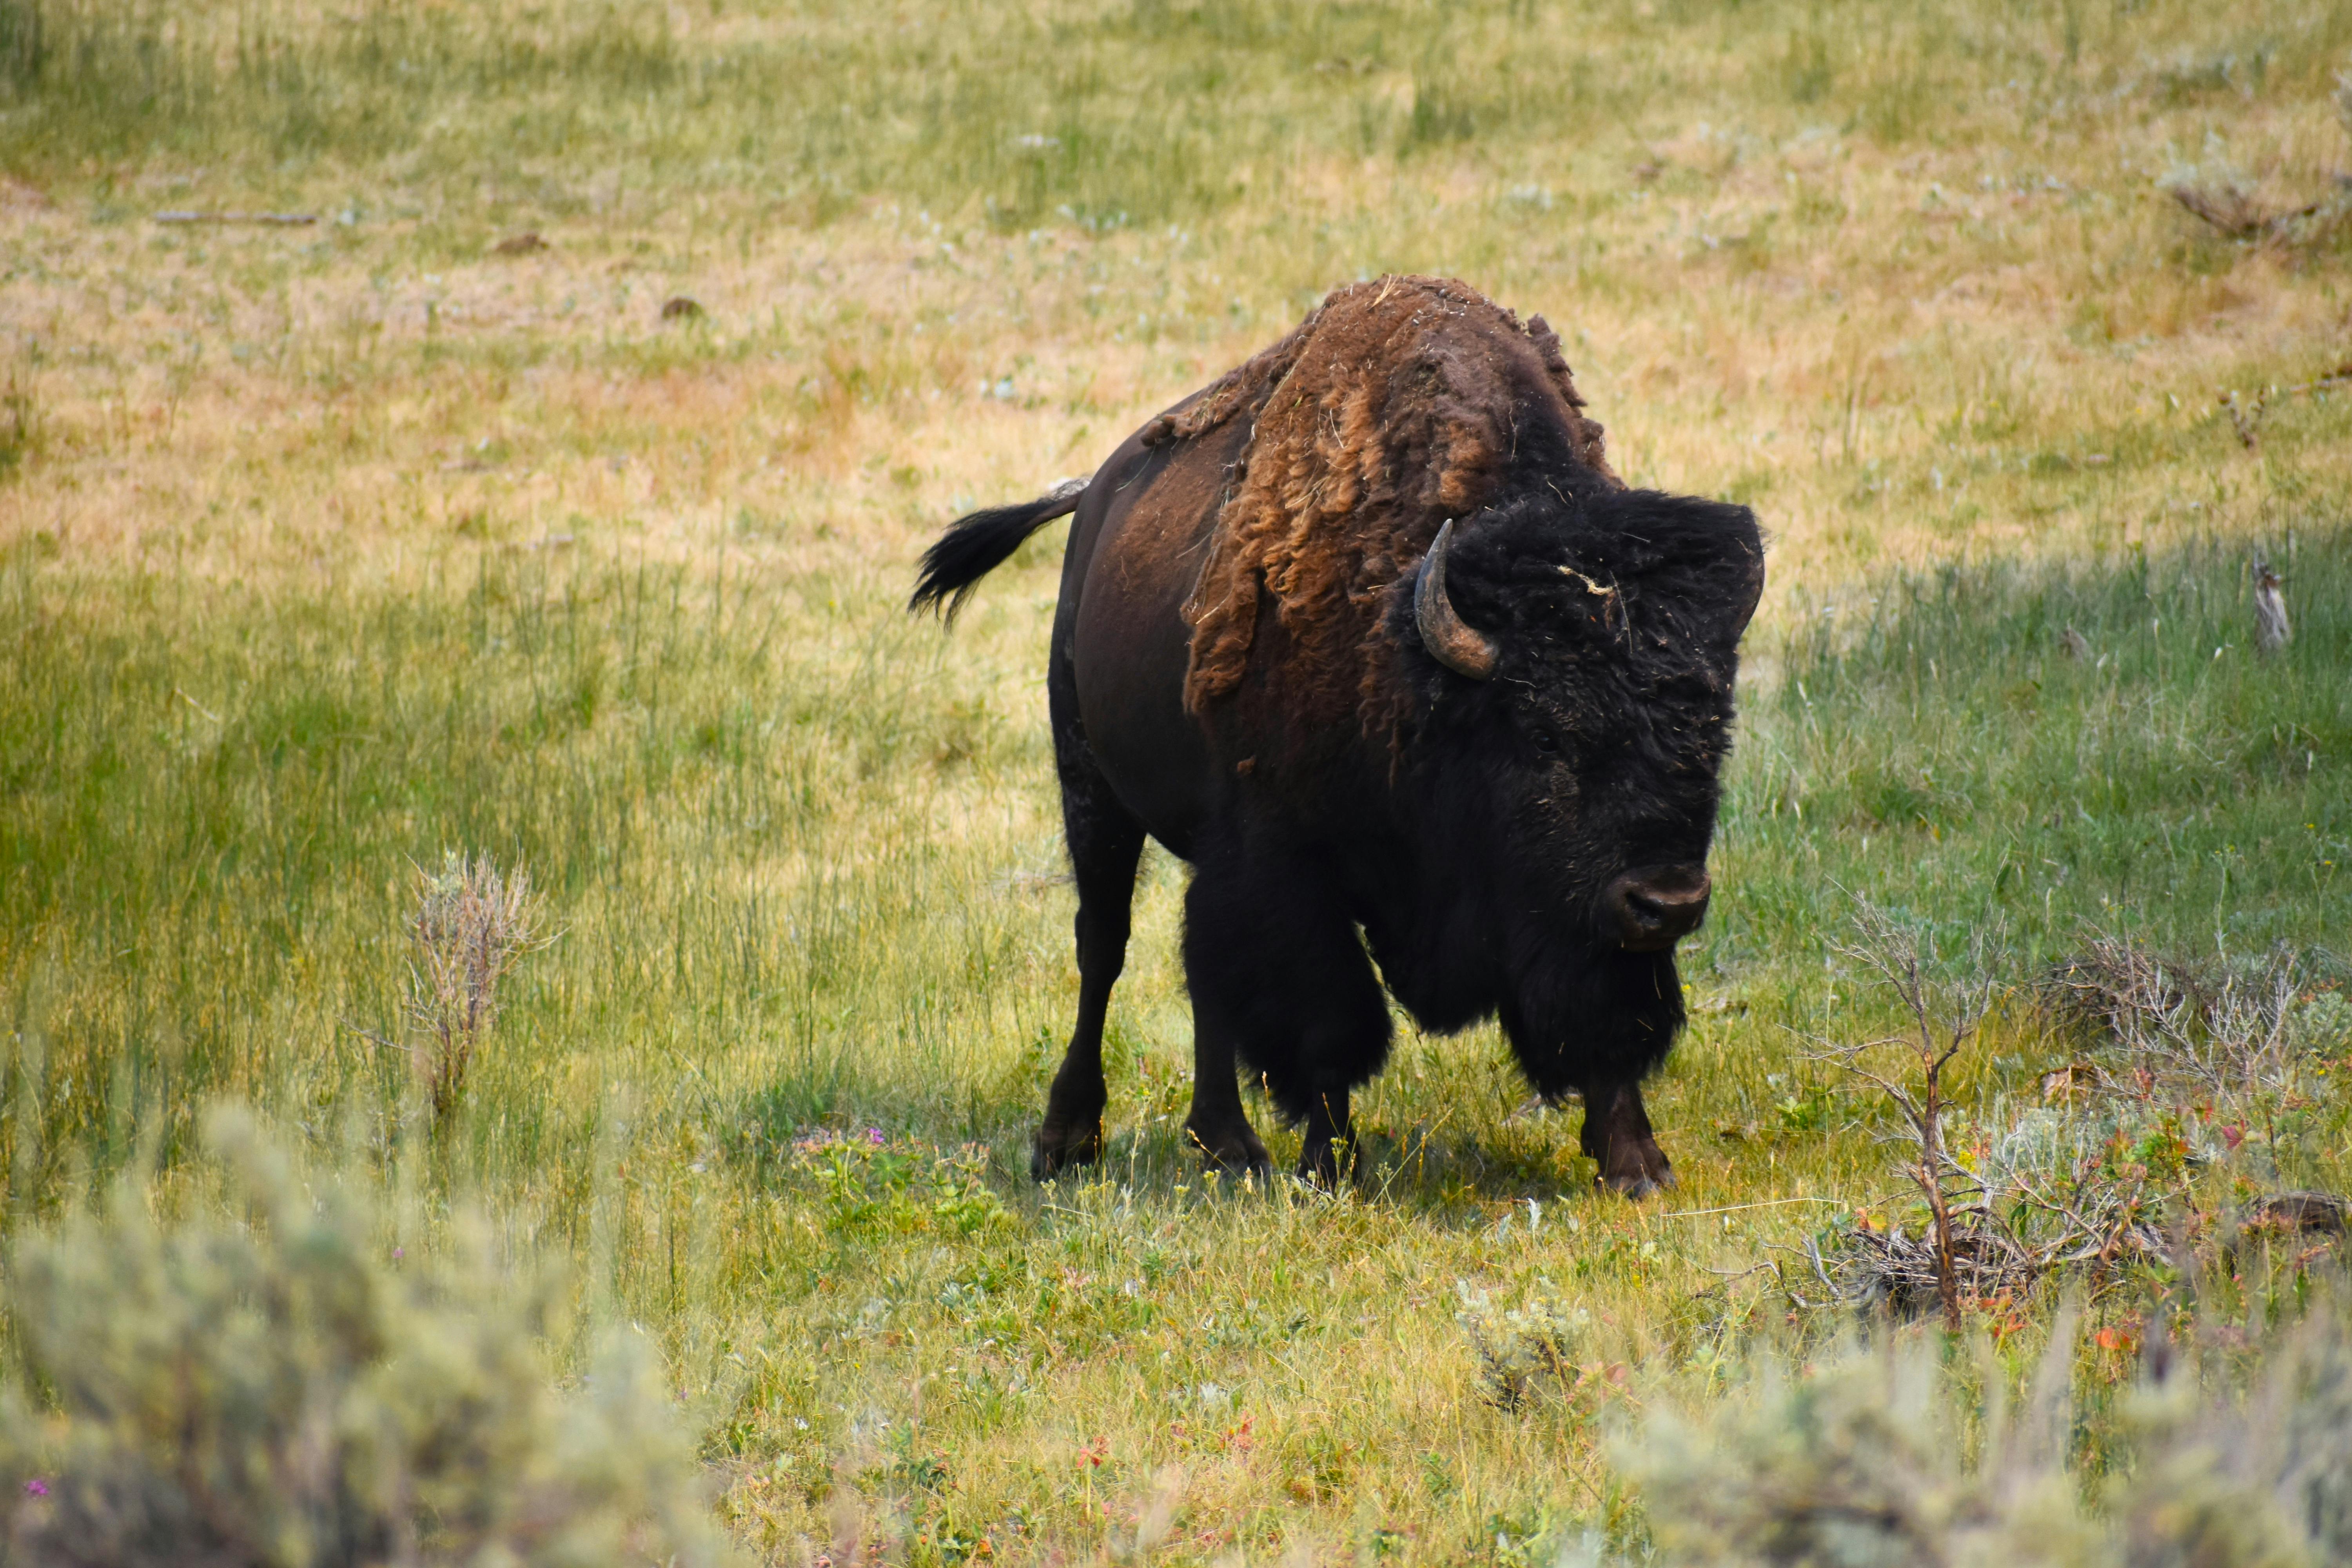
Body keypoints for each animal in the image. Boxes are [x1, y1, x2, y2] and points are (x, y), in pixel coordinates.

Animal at [911, 276, 1763, 1195]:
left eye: (1711, 731)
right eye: (1546, 735)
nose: (1669, 900)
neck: (1418, 667)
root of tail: (1097, 497)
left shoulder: (1572, 917)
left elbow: (1601, 1010)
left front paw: (1638, 1164)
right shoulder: (1290, 862)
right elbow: (1326, 1019)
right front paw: (1330, 1166)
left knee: (1201, 964)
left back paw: (1227, 1143)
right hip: (1093, 786)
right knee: (1105, 946)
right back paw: (1069, 1139)